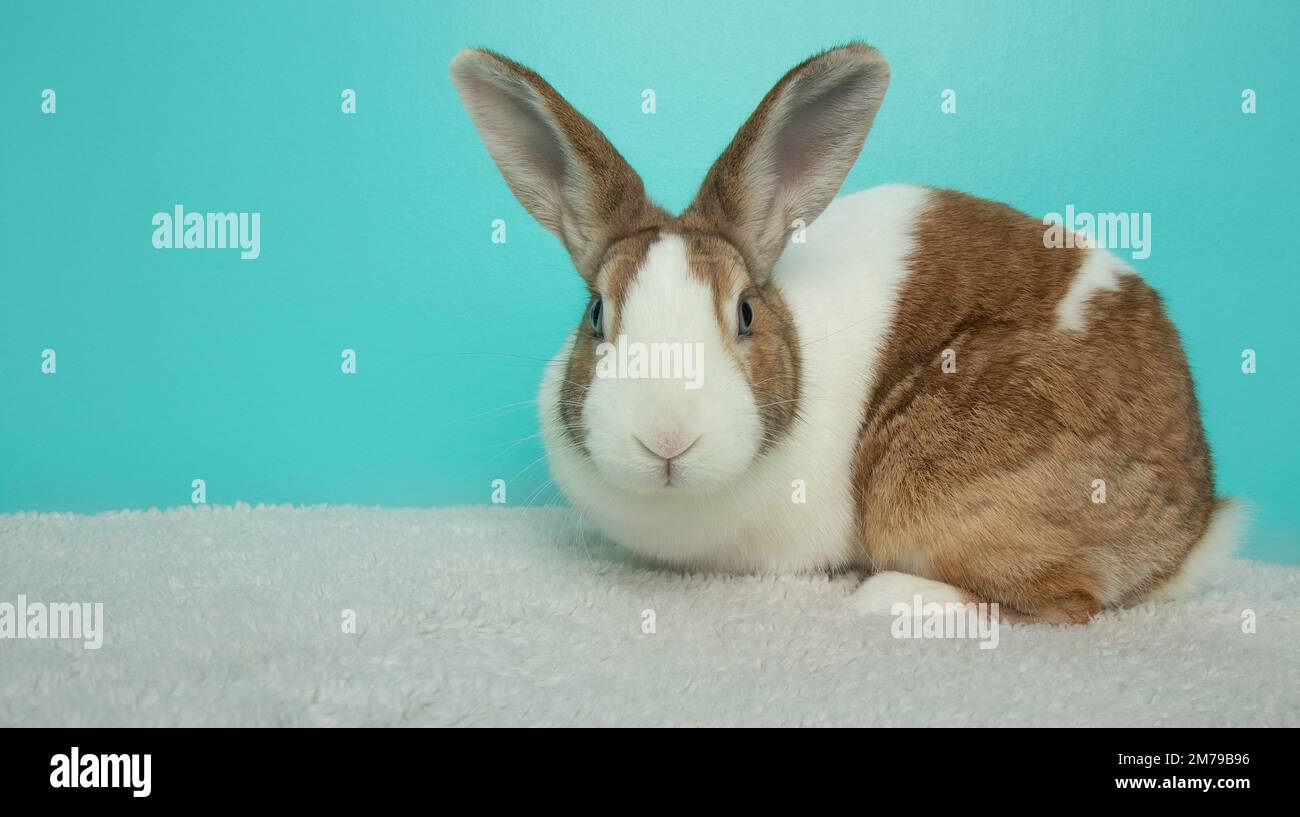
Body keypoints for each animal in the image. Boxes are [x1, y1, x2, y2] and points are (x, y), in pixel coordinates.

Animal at [450, 42, 1244, 623]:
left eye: (744, 312)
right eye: (596, 314)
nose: (667, 438)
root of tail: (1189, 528)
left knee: (1066, 602)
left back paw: (891, 597)